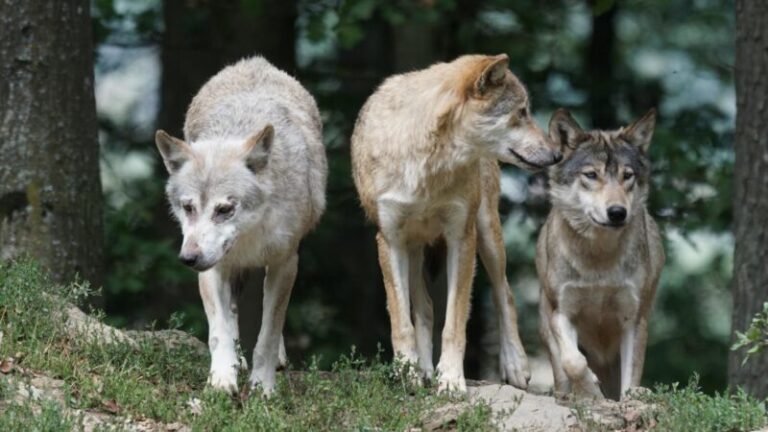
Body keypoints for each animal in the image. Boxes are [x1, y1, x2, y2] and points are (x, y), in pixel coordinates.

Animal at [154, 57, 327, 395]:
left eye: (224, 210)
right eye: (189, 208)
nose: (188, 258)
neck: (249, 236)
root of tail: (254, 61)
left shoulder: (286, 263)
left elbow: (268, 334)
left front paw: (263, 387)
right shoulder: (213, 268)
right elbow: (219, 332)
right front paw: (222, 379)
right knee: (232, 314)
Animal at [351, 54, 562, 392]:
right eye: (522, 112)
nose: (557, 154)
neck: (428, 165)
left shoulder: (462, 237)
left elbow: (454, 322)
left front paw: (450, 379)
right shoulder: (390, 240)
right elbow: (402, 321)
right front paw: (408, 373)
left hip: (487, 234)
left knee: (505, 293)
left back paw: (515, 365)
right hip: (413, 249)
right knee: (424, 308)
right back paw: (423, 370)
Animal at [536, 108, 664, 400]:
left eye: (627, 175)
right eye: (591, 175)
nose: (617, 212)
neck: (599, 258)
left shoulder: (634, 319)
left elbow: (631, 378)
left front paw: (628, 398)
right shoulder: (561, 312)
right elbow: (573, 361)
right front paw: (590, 390)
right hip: (545, 321)